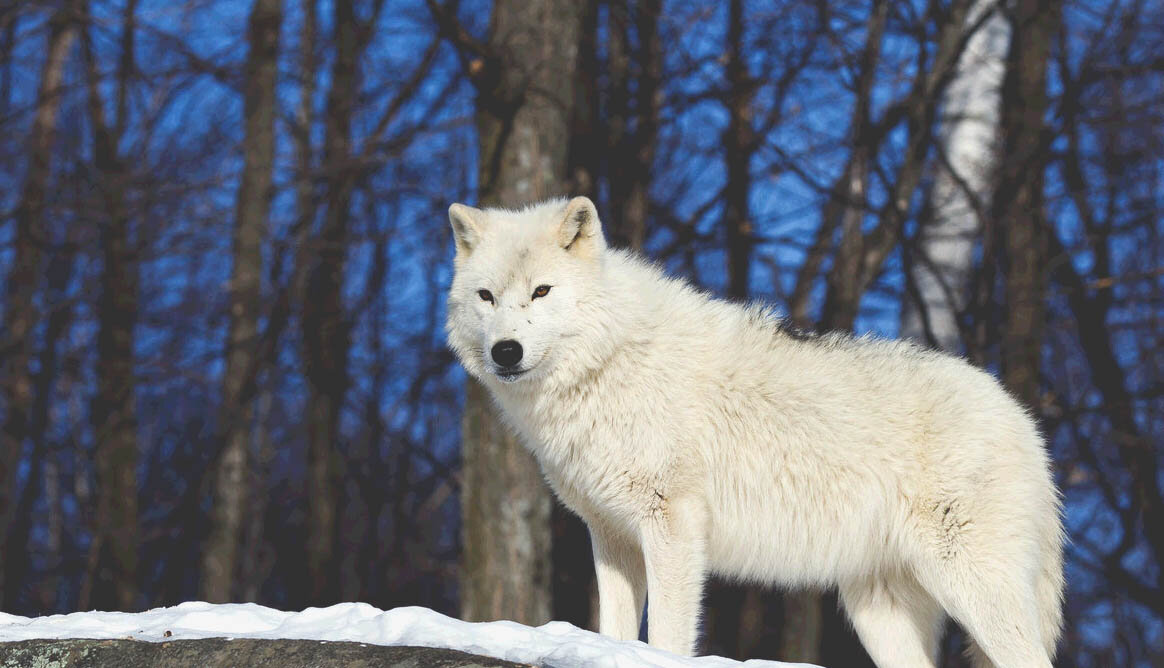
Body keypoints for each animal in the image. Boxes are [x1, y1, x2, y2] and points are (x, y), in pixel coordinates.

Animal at [442, 197, 1066, 668]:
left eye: (541, 291)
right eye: (486, 296)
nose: (506, 351)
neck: (608, 361)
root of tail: (1023, 420)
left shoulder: (672, 522)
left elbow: (665, 634)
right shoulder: (611, 535)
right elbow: (613, 629)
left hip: (972, 587)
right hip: (878, 611)